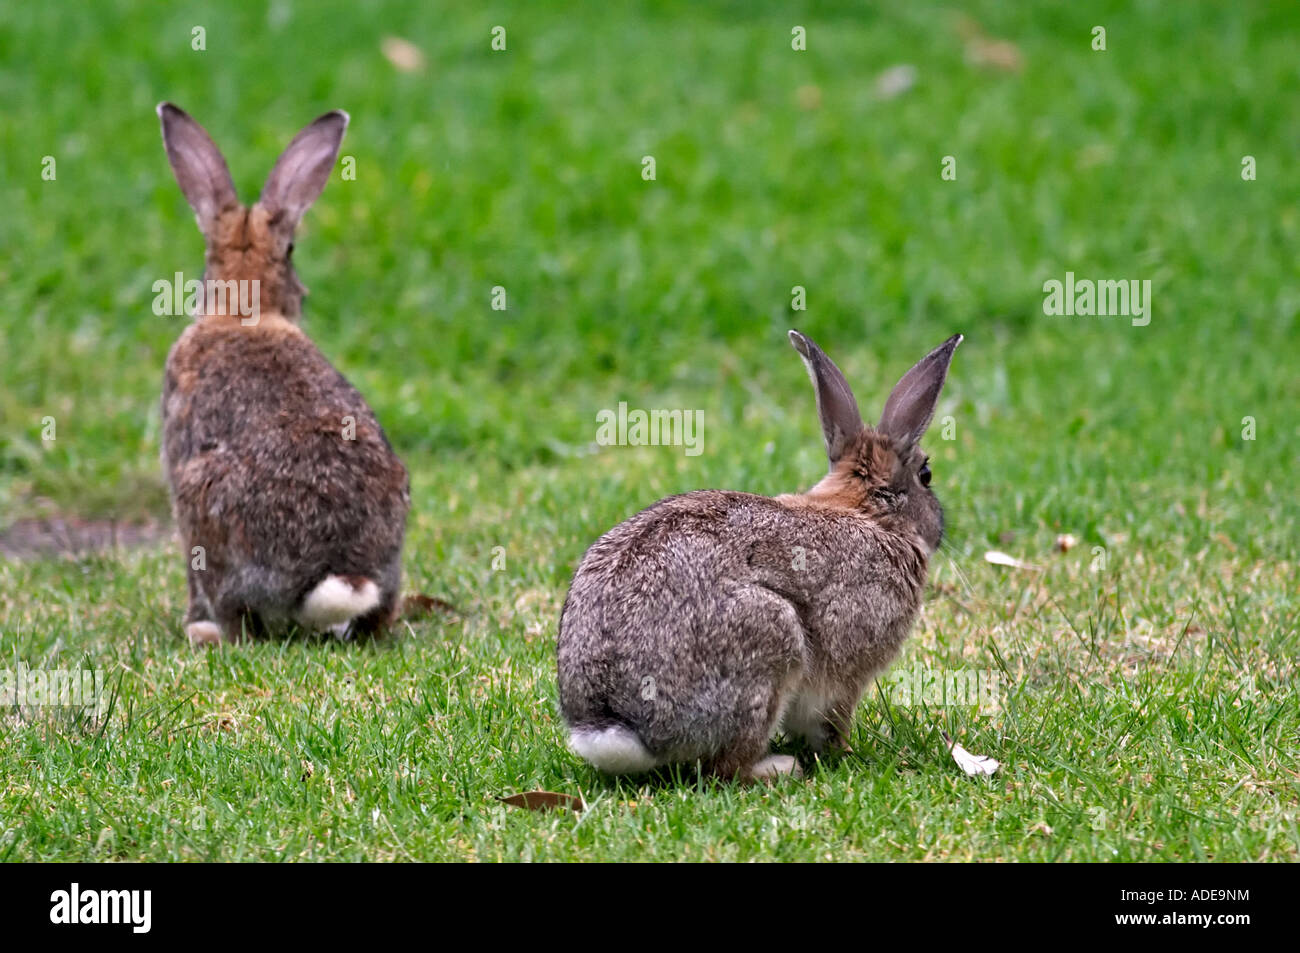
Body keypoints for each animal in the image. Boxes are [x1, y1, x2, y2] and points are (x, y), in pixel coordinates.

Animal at [557, 329, 961, 780]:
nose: (939, 528)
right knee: (726, 767)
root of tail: (615, 724)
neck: (867, 513)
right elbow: (830, 719)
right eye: (926, 474)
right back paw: (779, 767)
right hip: (771, 641)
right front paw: (844, 752)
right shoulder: (845, 674)